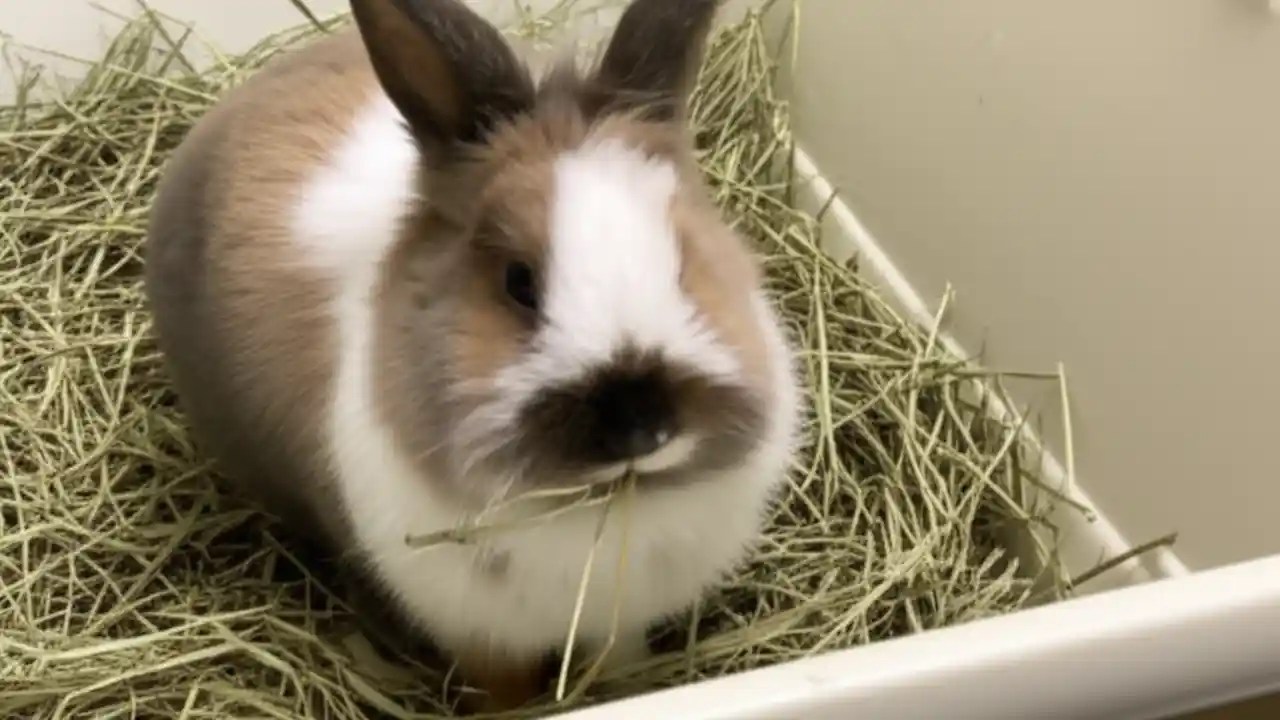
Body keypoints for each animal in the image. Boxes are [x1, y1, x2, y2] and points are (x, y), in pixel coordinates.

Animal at [143, 0, 801, 710]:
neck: (594, 506)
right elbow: (502, 687)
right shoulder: (480, 633)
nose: (640, 426)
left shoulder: (617, 623)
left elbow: (619, 658)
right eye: (518, 282)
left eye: (686, 260)